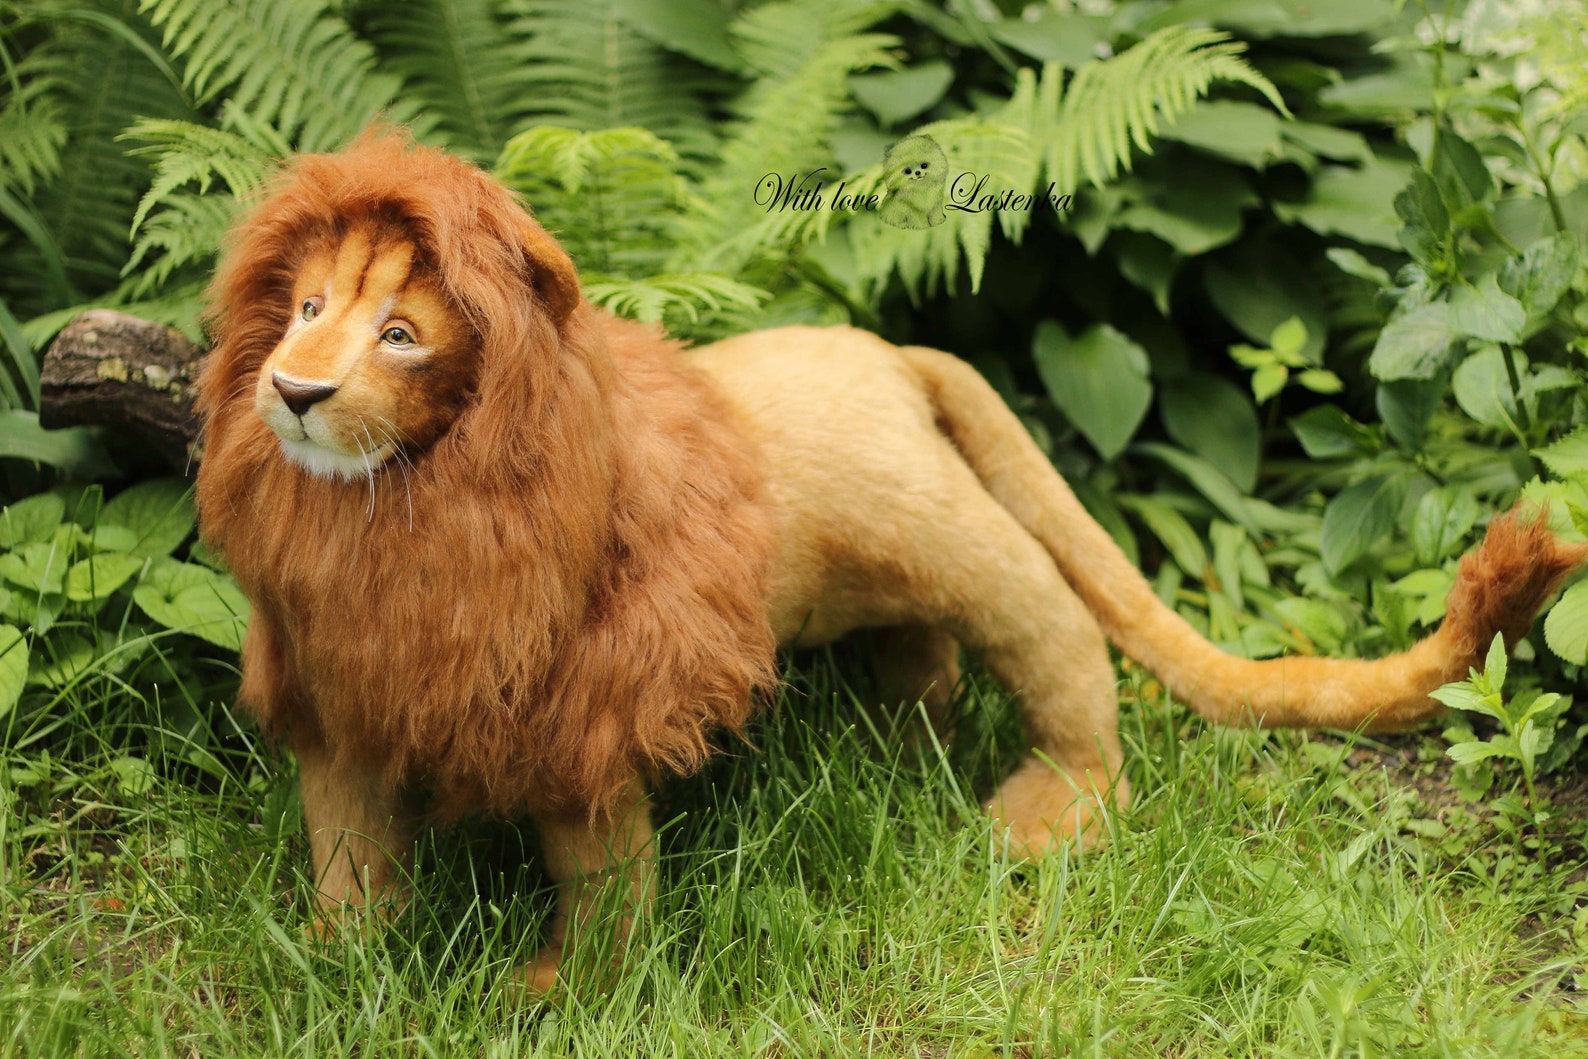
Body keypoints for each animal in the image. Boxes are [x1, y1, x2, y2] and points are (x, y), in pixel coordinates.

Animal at [194, 132, 1587, 994]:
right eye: (306, 308)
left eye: (401, 334)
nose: (296, 392)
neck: (404, 515)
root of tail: (887, 351)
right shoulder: (341, 703)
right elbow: (347, 852)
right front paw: (334, 963)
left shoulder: (587, 712)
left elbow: (603, 880)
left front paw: (562, 991)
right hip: (877, 577)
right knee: (924, 658)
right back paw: (893, 750)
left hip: (960, 540)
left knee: (1061, 641)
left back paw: (1046, 813)